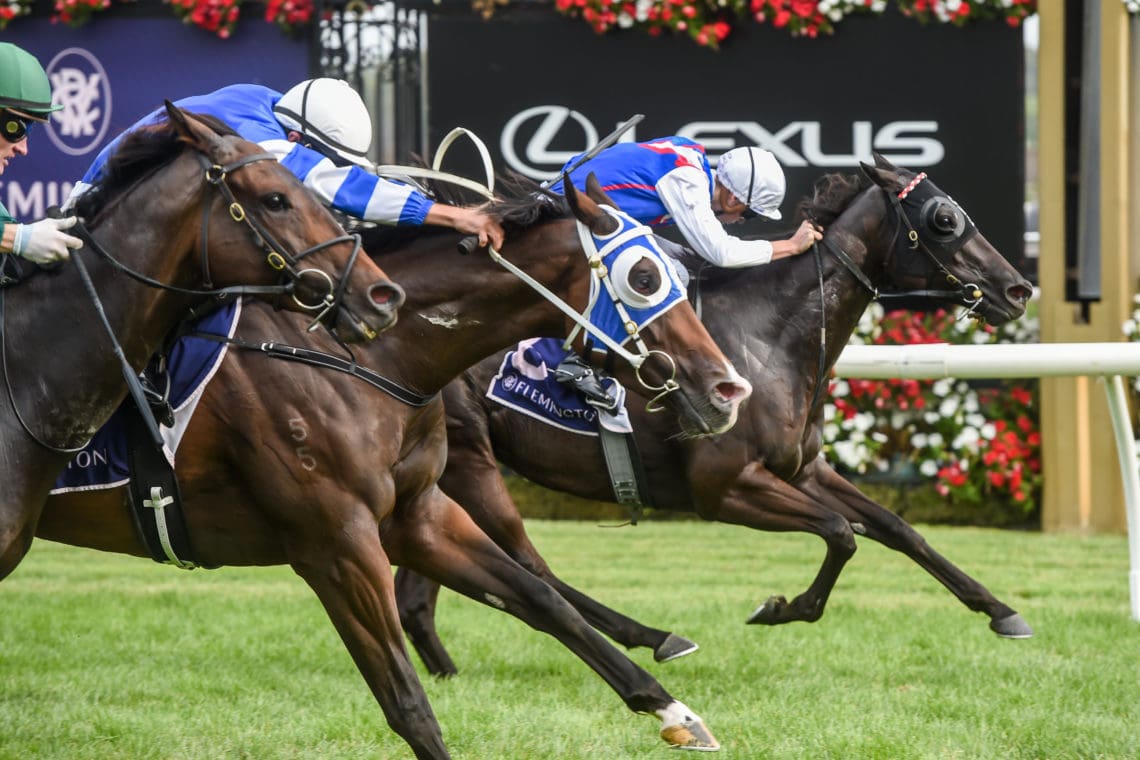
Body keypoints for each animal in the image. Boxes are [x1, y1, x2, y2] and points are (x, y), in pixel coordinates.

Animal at [33, 176, 754, 758]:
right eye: (644, 277)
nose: (728, 389)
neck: (366, 358)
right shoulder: (335, 545)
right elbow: (405, 697)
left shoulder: (418, 516)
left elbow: (542, 600)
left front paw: (673, 710)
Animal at [391, 153, 1038, 679]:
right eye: (943, 219)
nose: (1018, 289)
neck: (770, 336)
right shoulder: (723, 488)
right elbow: (840, 531)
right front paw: (781, 609)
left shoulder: (804, 469)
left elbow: (897, 528)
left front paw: (1002, 611)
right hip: (470, 456)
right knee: (528, 564)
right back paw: (655, 638)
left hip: (437, 477)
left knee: (423, 592)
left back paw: (447, 672)